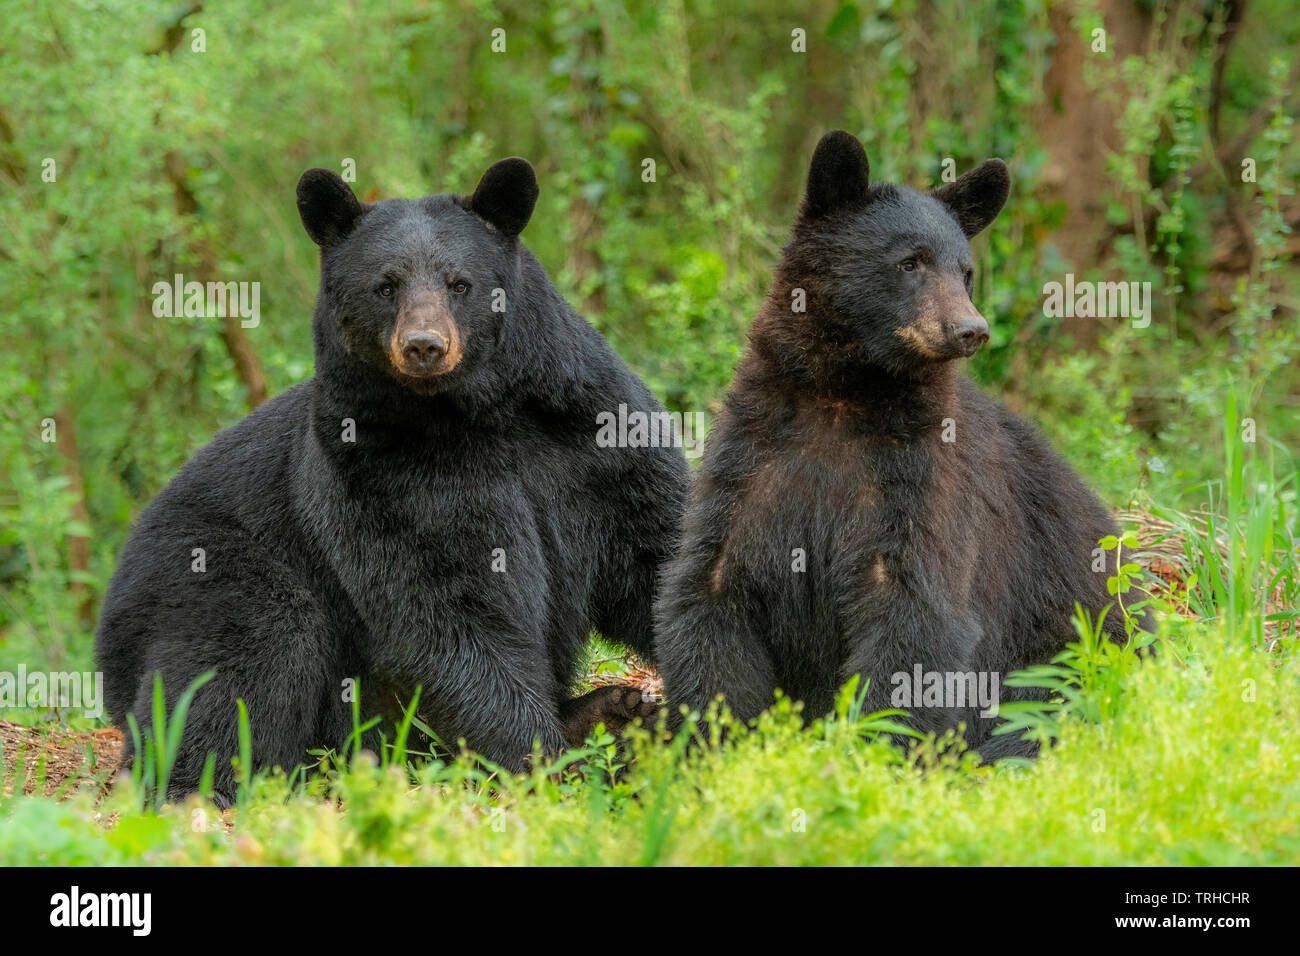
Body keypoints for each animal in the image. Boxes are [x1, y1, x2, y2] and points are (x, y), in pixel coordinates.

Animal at [96, 157, 688, 803]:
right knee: (241, 659)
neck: (478, 413)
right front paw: (542, 762)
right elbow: (446, 609)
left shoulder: (593, 432)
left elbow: (654, 546)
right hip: (203, 571)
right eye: (385, 286)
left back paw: (614, 711)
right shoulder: (380, 475)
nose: (424, 346)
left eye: (459, 282)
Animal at [654, 130, 1145, 759]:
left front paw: (876, 755)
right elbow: (711, 593)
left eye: (965, 271)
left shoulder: (922, 475)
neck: (844, 394)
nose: (971, 329)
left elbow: (913, 614)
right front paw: (718, 748)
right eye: (910, 261)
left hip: (1073, 637)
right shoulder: (750, 459)